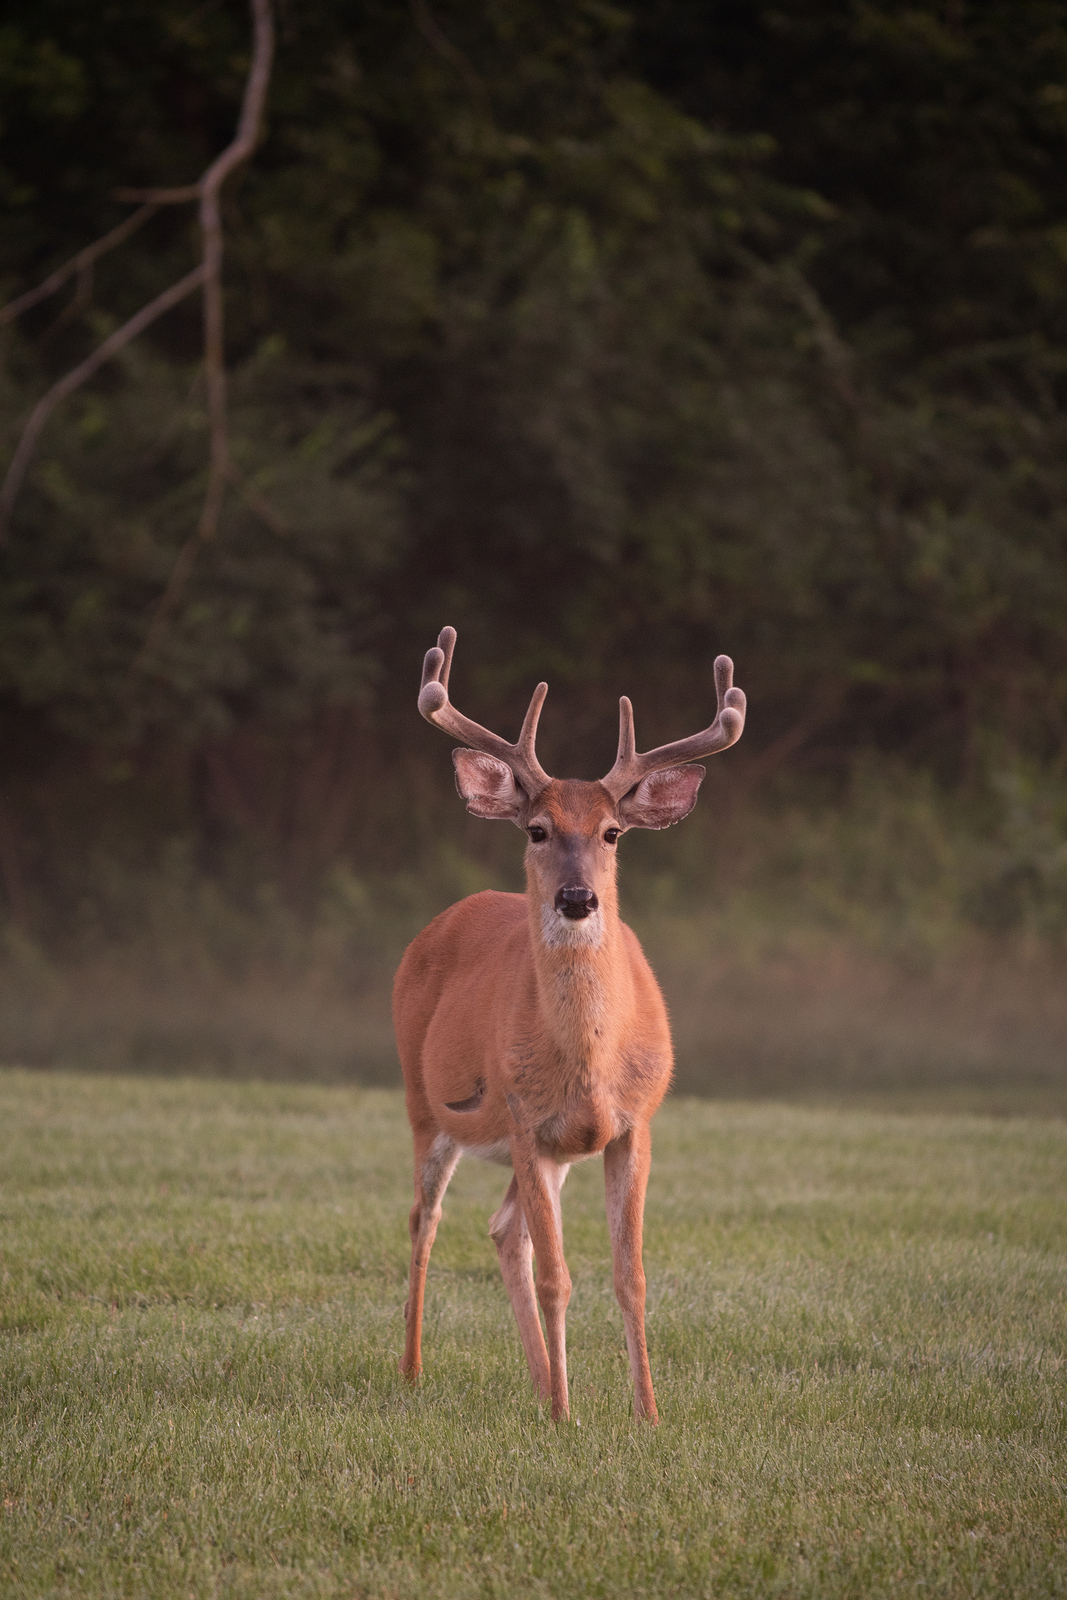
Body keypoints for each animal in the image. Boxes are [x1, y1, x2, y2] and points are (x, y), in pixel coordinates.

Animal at [393, 627, 746, 1423]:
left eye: (613, 832)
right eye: (536, 829)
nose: (578, 898)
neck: (588, 1060)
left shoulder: (633, 1124)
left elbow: (629, 1276)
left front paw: (646, 1414)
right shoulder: (525, 1118)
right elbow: (559, 1276)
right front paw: (564, 1416)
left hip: (545, 1156)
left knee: (504, 1234)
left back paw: (537, 1377)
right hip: (427, 1107)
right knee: (425, 1222)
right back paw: (416, 1371)